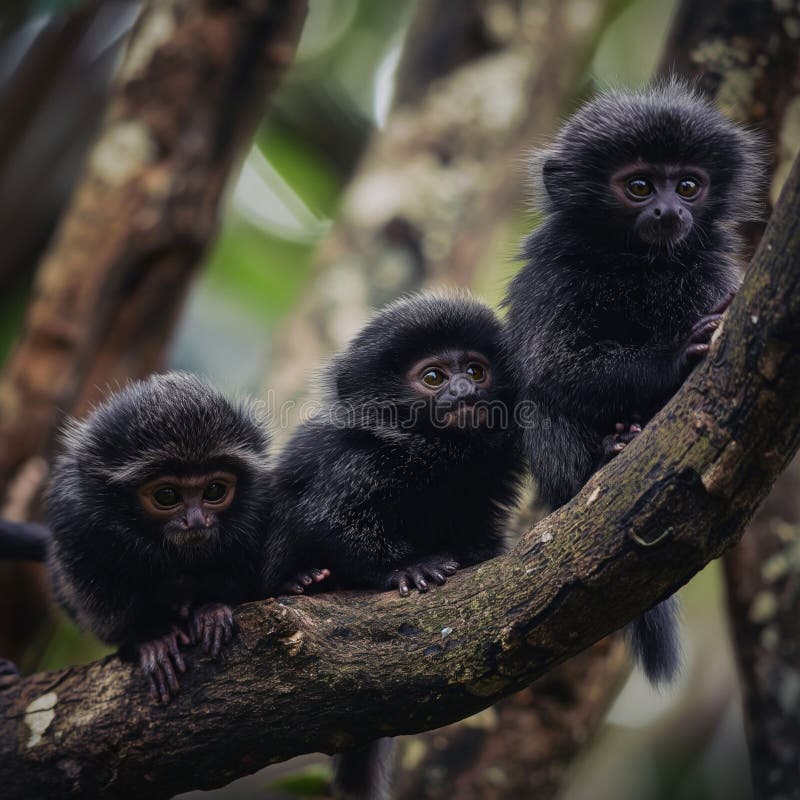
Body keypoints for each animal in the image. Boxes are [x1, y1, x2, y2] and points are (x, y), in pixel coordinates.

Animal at [47, 372, 281, 703]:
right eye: (167, 495)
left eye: (214, 491)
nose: (194, 520)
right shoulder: (78, 525)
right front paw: (153, 635)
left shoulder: (257, 505)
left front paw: (212, 609)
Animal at [270, 292, 526, 799]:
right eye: (434, 378)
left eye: (476, 370)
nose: (464, 392)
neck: (433, 457)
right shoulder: (357, 461)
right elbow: (331, 519)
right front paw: (409, 567)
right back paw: (305, 580)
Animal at [504, 79, 764, 684]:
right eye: (640, 186)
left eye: (688, 186)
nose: (669, 210)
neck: (643, 267)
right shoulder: (557, 273)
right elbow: (553, 367)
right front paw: (679, 354)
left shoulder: (714, 275)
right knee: (538, 403)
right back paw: (611, 451)